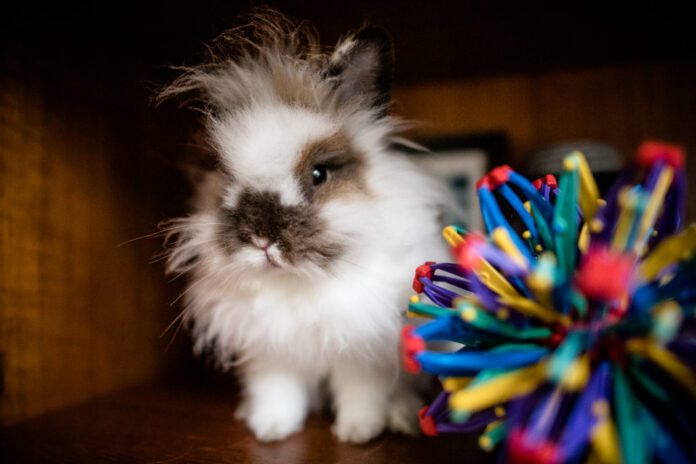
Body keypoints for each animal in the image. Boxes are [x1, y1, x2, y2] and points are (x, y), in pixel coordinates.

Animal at [159, 11, 451, 443]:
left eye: (319, 174)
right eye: (227, 177)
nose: (262, 238)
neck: (297, 281)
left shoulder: (363, 345)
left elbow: (361, 390)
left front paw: (359, 432)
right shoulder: (270, 350)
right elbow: (277, 389)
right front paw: (271, 429)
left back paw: (403, 419)